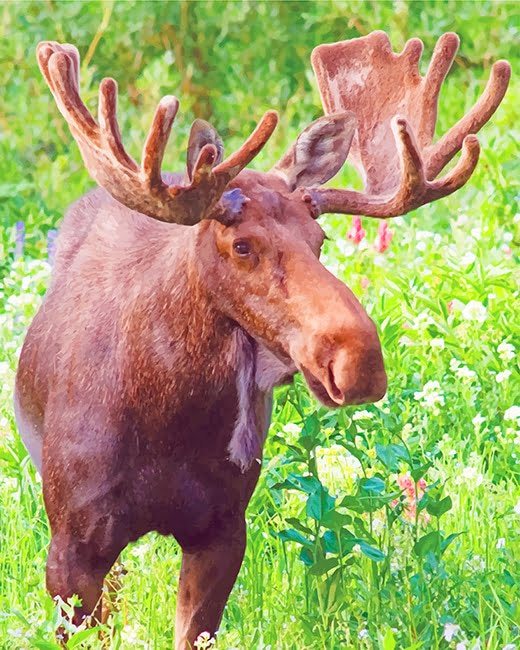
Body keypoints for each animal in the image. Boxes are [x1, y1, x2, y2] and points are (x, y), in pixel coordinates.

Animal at [15, 31, 510, 649]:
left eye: (320, 238)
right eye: (242, 245)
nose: (359, 360)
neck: (167, 422)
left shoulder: (225, 529)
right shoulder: (71, 546)